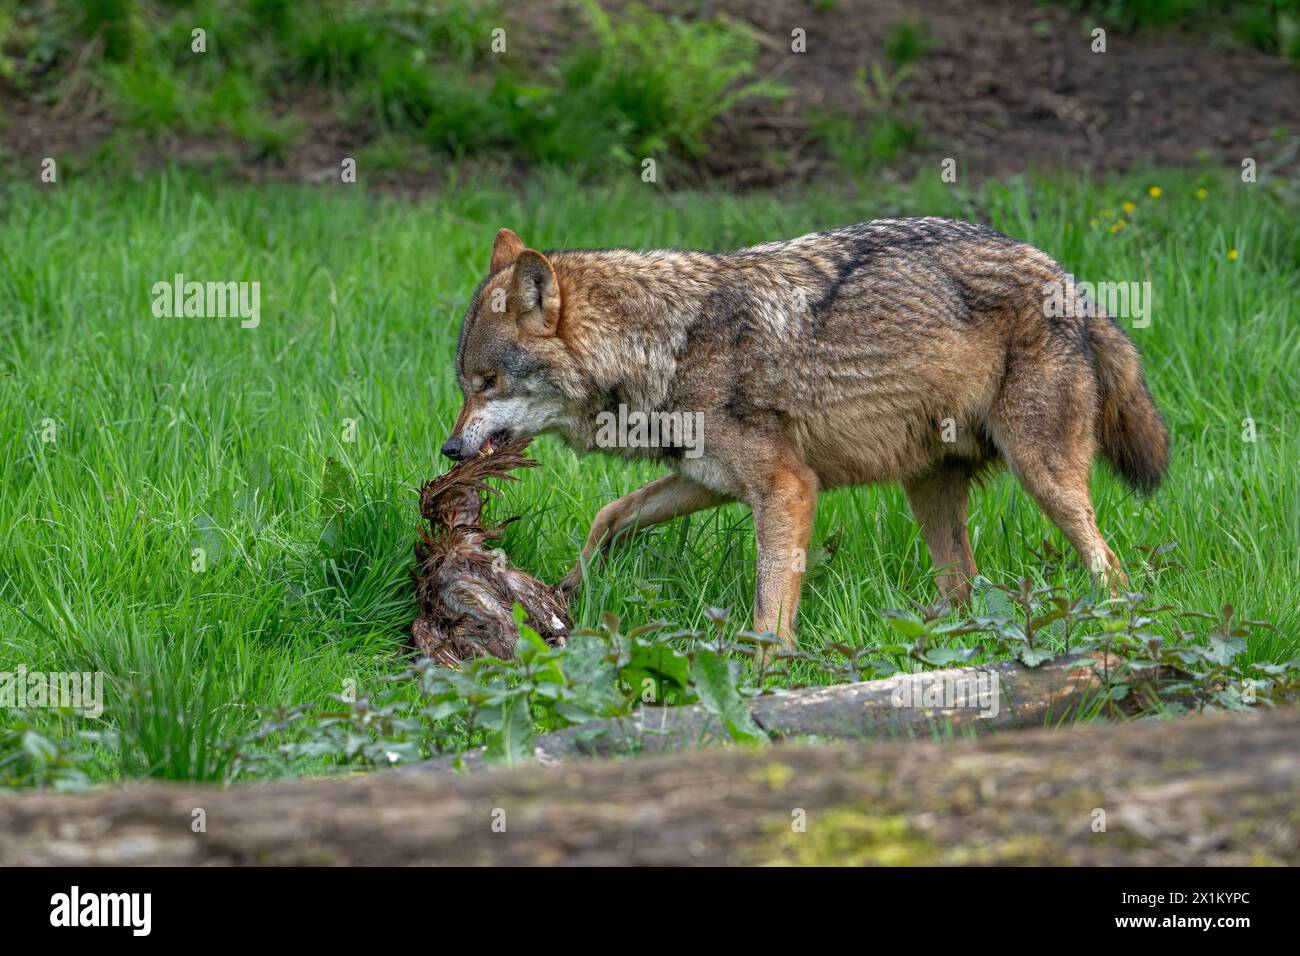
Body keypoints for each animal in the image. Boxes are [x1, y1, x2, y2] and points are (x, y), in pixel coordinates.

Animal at [444, 221, 1169, 647]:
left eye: (487, 382)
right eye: (464, 383)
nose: (449, 450)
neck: (666, 346)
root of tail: (1070, 281)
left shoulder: (788, 487)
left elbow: (770, 603)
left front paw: (768, 671)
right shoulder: (707, 480)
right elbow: (609, 516)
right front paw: (564, 595)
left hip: (1043, 479)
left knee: (1110, 565)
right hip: (929, 491)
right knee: (964, 586)